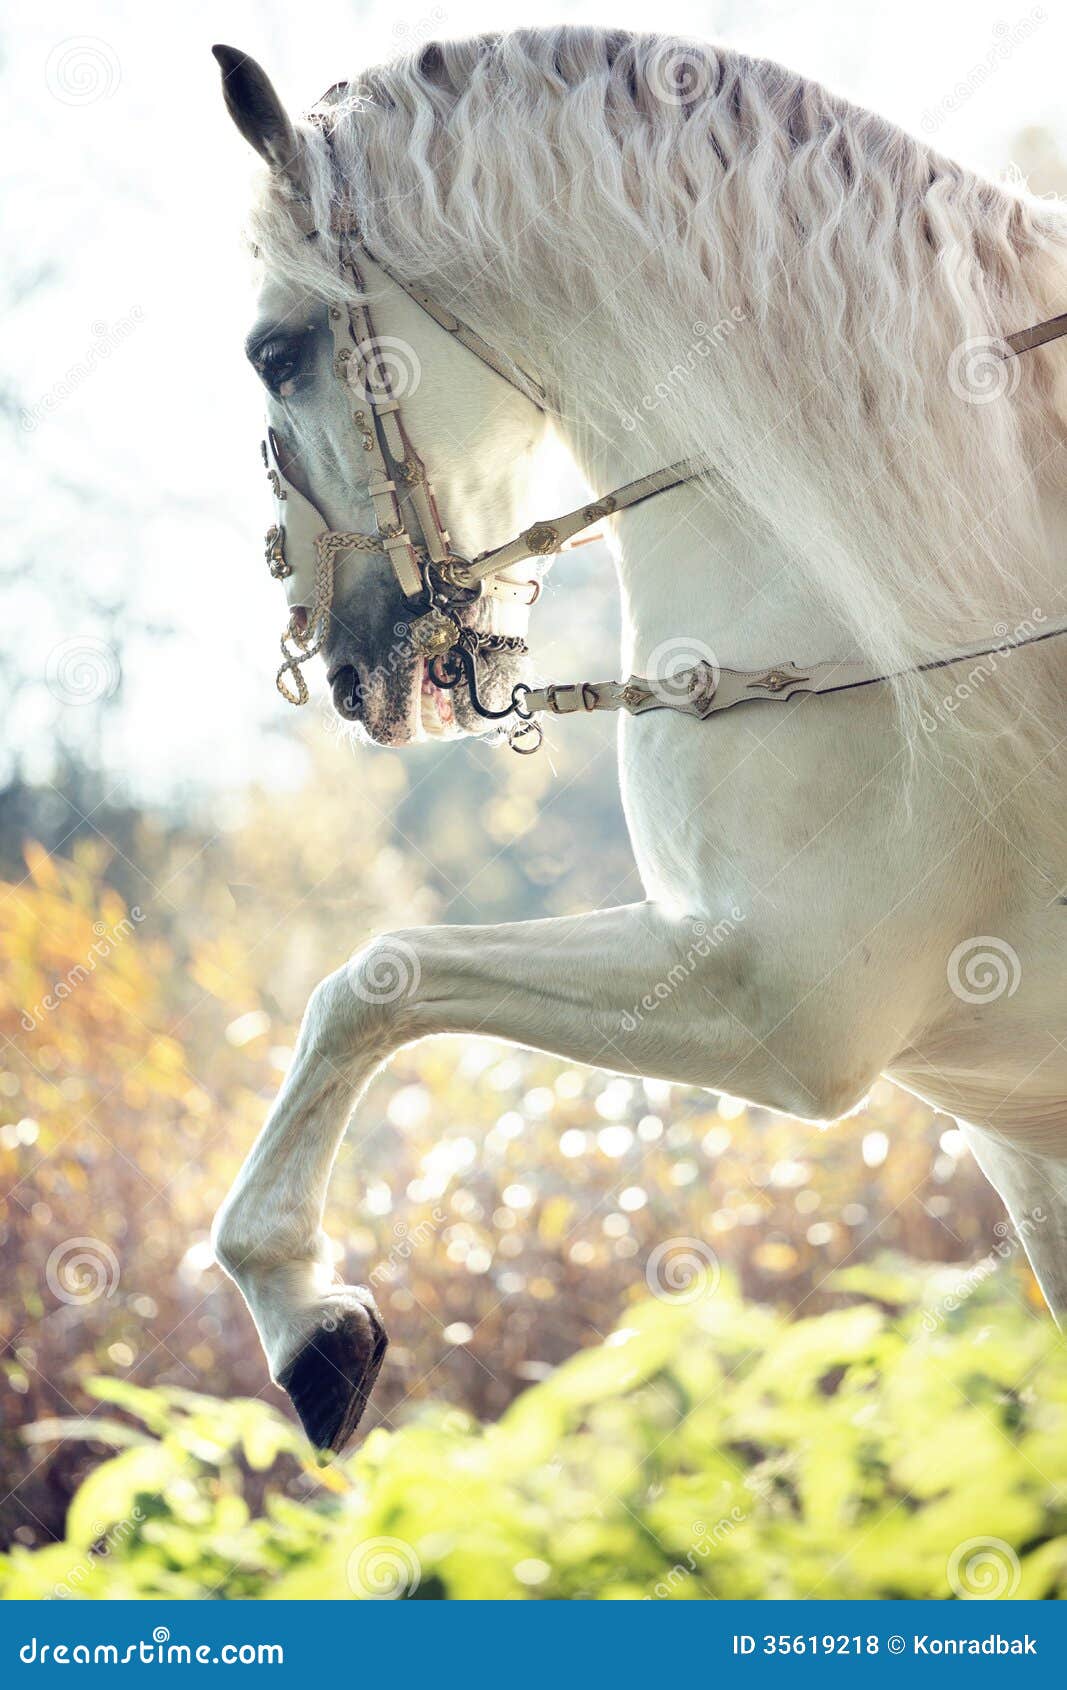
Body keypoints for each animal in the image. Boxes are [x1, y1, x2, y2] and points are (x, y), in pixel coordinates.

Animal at [210, 27, 1067, 1455]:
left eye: (275, 354)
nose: (332, 659)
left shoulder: (774, 1004)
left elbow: (370, 980)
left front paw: (303, 1317)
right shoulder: (1016, 1137)